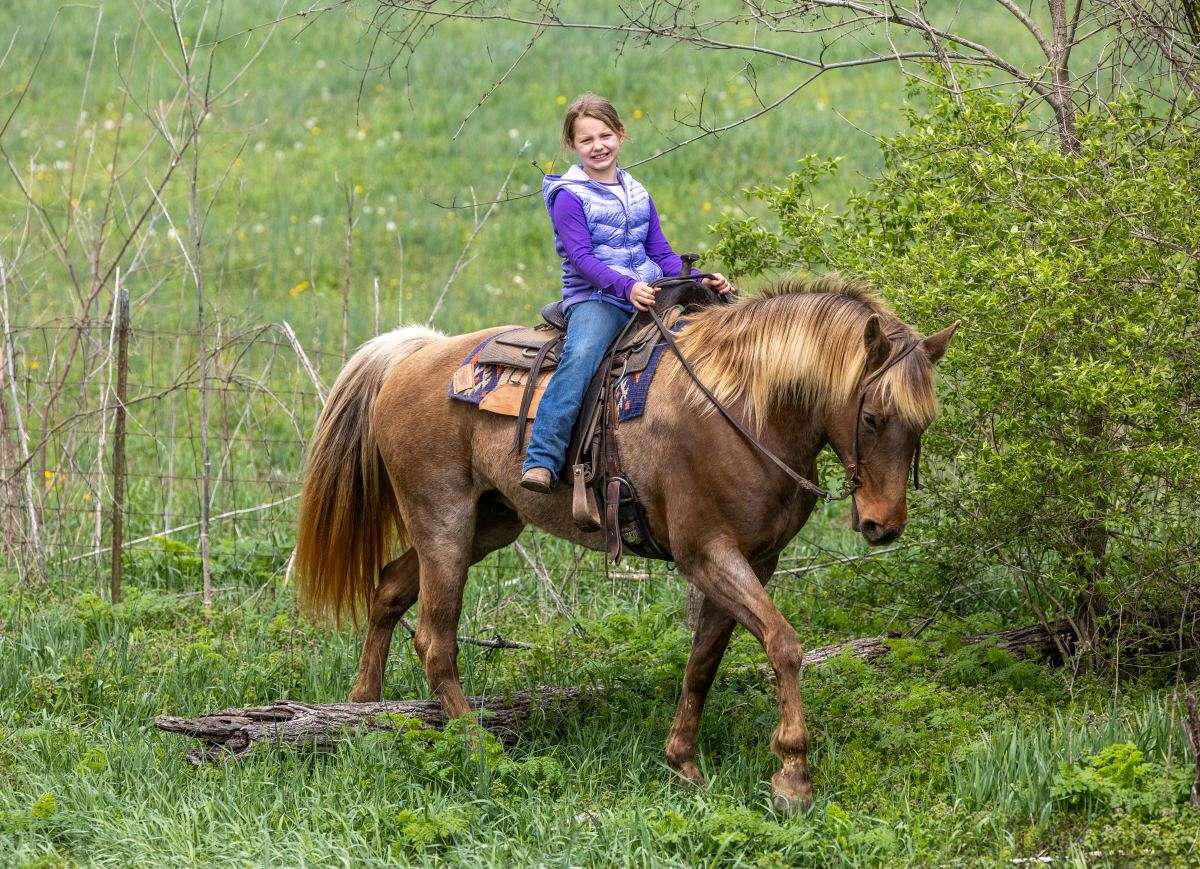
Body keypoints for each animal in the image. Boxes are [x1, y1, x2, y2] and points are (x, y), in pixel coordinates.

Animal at [294, 275, 958, 811]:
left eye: (922, 422)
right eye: (871, 417)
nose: (883, 525)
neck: (741, 409)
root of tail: (417, 354)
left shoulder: (754, 561)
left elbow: (704, 660)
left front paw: (683, 762)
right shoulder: (707, 555)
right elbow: (783, 644)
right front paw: (792, 776)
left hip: (490, 523)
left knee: (388, 589)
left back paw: (361, 711)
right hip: (444, 523)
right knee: (436, 640)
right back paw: (480, 749)